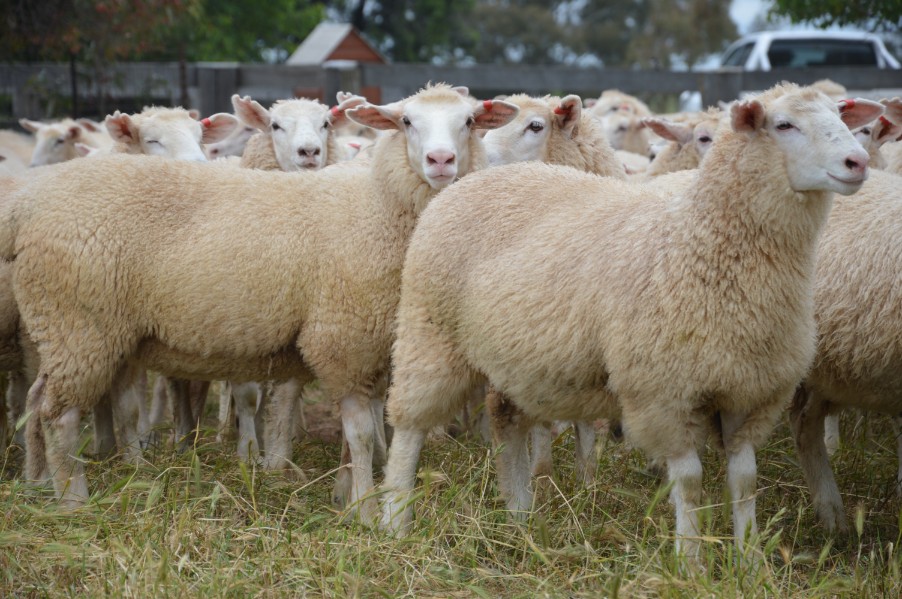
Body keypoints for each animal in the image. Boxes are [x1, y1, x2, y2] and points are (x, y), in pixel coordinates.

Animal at [1, 84, 518, 513]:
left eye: (469, 120)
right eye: (406, 121)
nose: (440, 161)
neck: (378, 204)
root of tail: (30, 203)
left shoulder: (366, 348)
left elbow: (356, 437)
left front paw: (344, 494)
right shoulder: (341, 339)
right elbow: (360, 434)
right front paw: (364, 508)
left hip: (70, 328)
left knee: (37, 397)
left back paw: (38, 479)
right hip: (80, 323)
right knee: (58, 413)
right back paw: (73, 497)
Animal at [379, 84, 881, 561]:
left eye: (840, 117)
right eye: (783, 125)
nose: (857, 162)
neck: (700, 243)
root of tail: (474, 179)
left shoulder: (749, 392)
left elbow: (744, 481)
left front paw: (750, 561)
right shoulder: (663, 393)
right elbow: (689, 482)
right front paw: (690, 562)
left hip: (517, 358)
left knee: (507, 422)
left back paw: (520, 514)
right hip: (429, 333)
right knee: (408, 426)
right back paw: (393, 519)